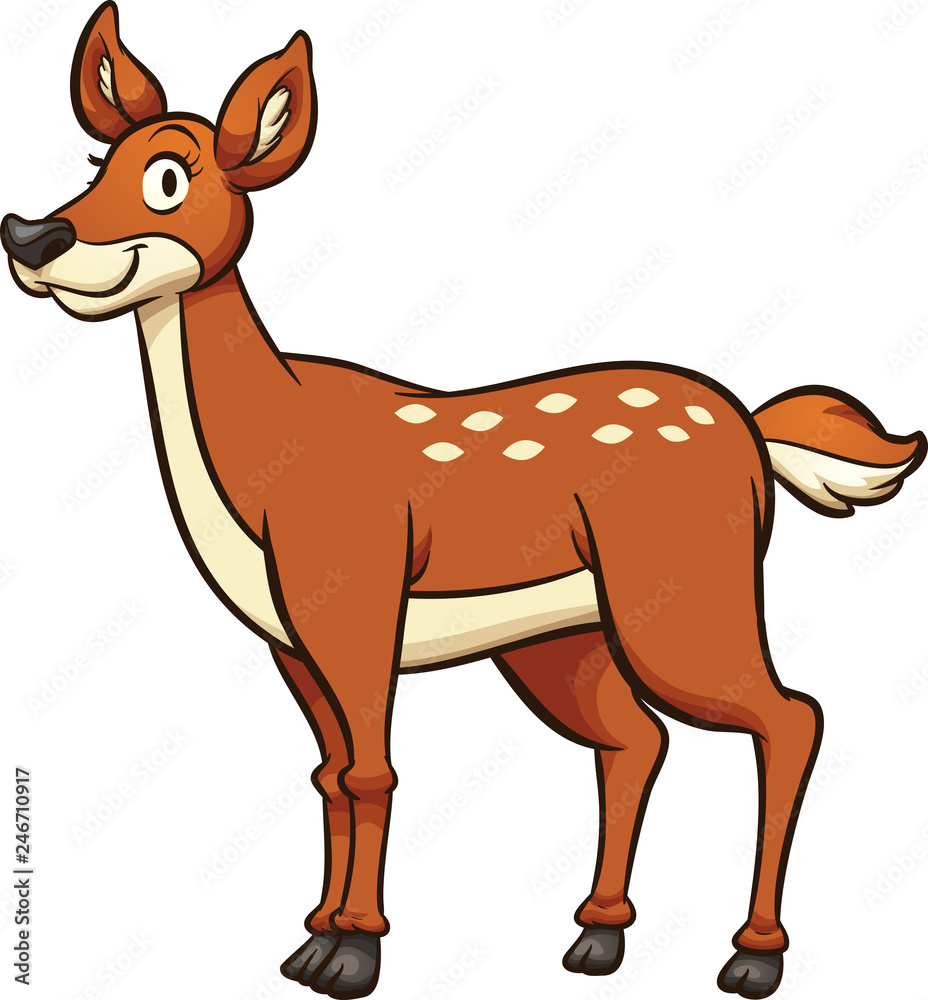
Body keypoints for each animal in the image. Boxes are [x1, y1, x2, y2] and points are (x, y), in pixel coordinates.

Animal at [3, 5, 924, 998]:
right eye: (95, 162)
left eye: (171, 177)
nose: (31, 236)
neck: (265, 462)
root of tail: (752, 431)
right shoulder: (289, 636)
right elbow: (328, 773)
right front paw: (307, 941)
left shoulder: (359, 593)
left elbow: (371, 772)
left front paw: (353, 954)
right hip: (566, 637)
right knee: (636, 739)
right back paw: (596, 938)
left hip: (685, 592)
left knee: (790, 716)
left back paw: (753, 955)